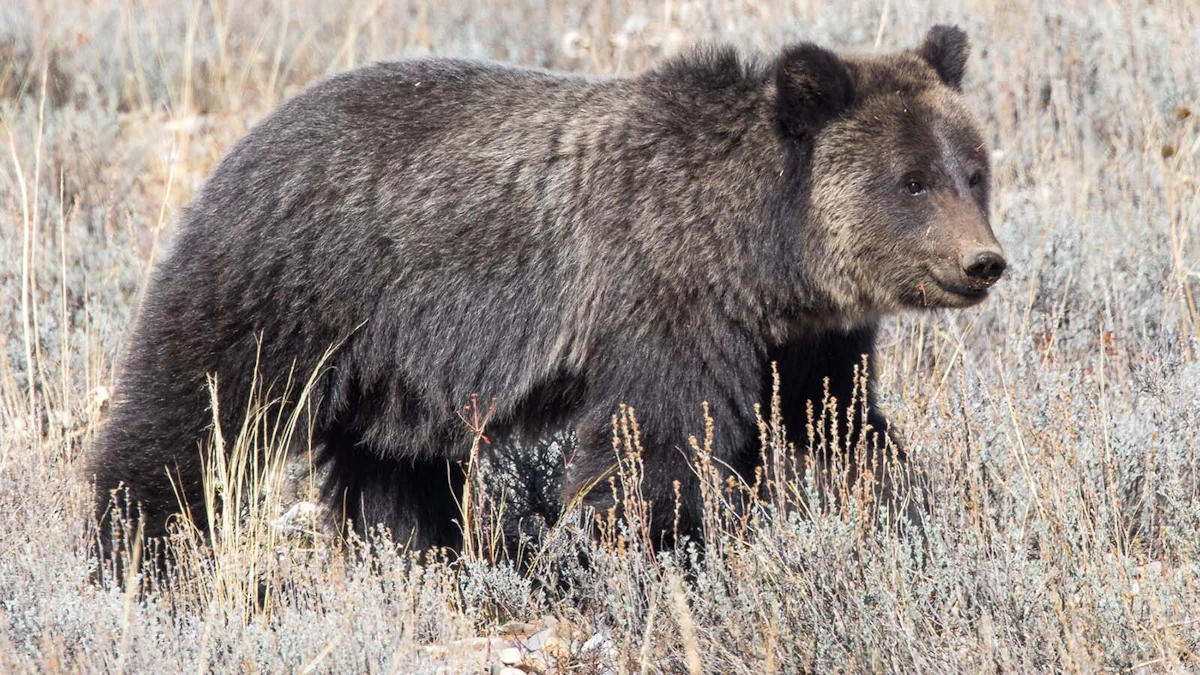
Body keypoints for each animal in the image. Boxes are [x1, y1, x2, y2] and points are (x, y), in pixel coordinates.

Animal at [90, 25, 1005, 563]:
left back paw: (415, 552)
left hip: (395, 367)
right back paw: (142, 546)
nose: (983, 262)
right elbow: (648, 450)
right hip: (293, 286)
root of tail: (250, 136)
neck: (761, 260)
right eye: (912, 180)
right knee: (197, 411)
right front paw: (642, 551)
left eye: (973, 170)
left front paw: (905, 516)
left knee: (391, 468)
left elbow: (840, 428)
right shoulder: (662, 301)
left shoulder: (802, 341)